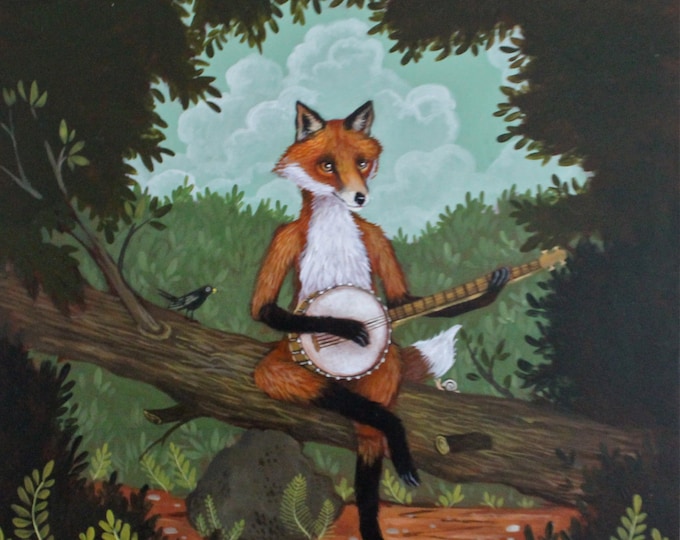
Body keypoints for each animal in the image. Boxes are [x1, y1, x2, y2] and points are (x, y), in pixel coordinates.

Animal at [251, 101, 509, 540]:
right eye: (326, 165)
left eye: (361, 162)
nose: (359, 197)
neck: (334, 227)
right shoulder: (284, 239)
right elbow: (262, 308)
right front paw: (345, 327)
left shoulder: (376, 238)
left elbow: (404, 299)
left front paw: (489, 290)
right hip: (283, 366)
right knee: (330, 396)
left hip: (382, 369)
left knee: (372, 432)